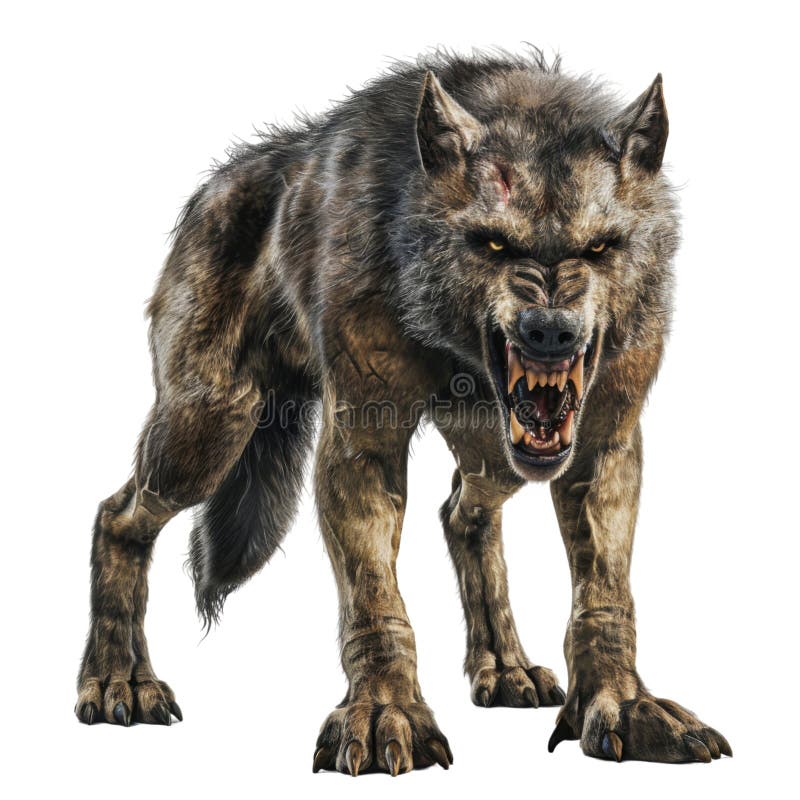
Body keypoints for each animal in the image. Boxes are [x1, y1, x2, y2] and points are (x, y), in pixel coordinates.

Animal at [76, 49, 731, 772]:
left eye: (600, 247)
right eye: (492, 244)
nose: (550, 333)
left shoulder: (601, 445)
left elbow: (605, 596)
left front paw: (623, 706)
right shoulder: (364, 442)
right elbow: (375, 602)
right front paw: (384, 716)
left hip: (492, 458)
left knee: (461, 512)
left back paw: (504, 668)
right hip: (208, 431)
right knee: (117, 514)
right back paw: (115, 682)